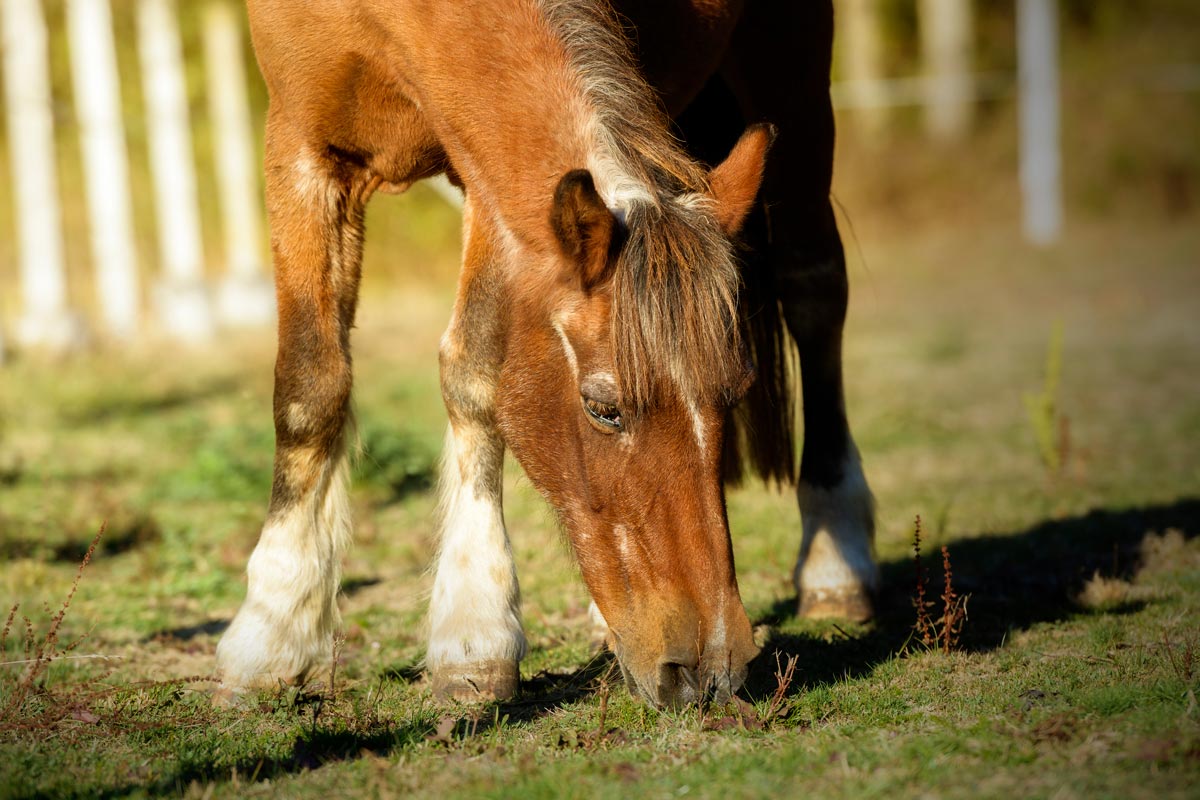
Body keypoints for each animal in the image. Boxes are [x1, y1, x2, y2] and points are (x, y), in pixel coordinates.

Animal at [215, 0, 877, 709]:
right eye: (604, 409)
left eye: (735, 392)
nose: (712, 669)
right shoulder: (303, 146)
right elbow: (309, 387)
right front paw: (270, 632)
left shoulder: (489, 182)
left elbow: (474, 375)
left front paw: (473, 635)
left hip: (791, 70)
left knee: (815, 291)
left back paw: (837, 562)